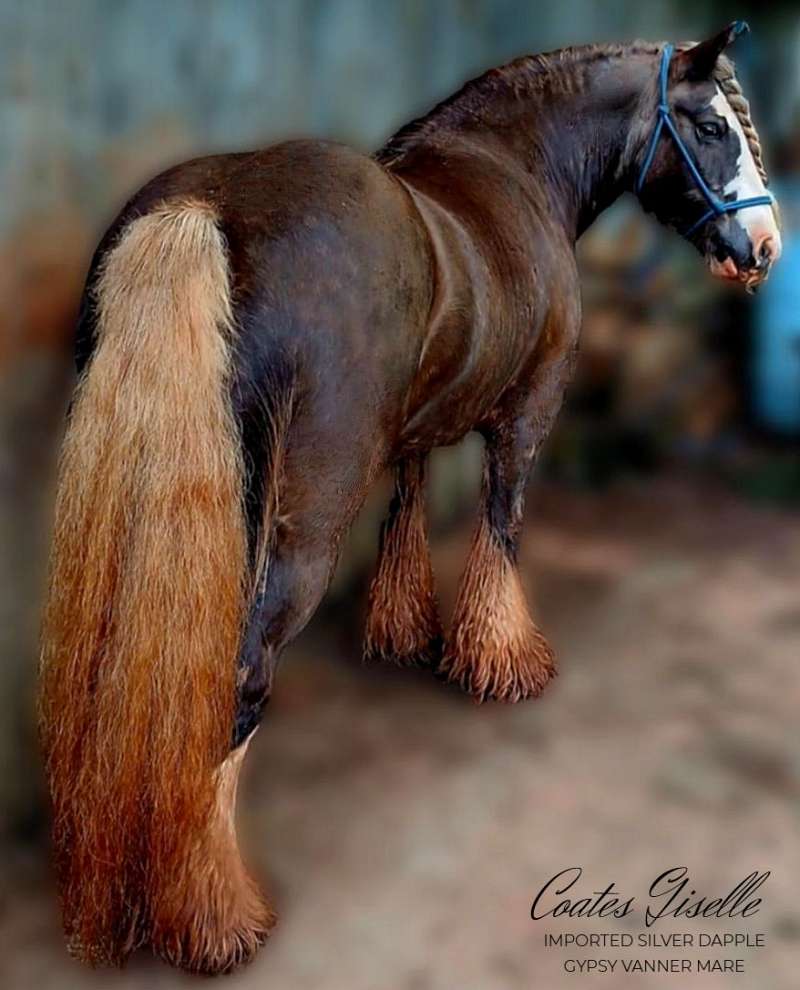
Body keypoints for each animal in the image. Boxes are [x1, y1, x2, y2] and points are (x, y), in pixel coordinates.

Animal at [39, 21, 780, 975]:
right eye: (712, 124)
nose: (763, 246)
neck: (512, 165)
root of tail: (204, 213)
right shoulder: (528, 414)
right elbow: (502, 526)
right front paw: (501, 659)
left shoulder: (421, 428)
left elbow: (410, 514)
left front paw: (399, 628)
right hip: (295, 530)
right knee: (238, 682)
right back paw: (213, 914)